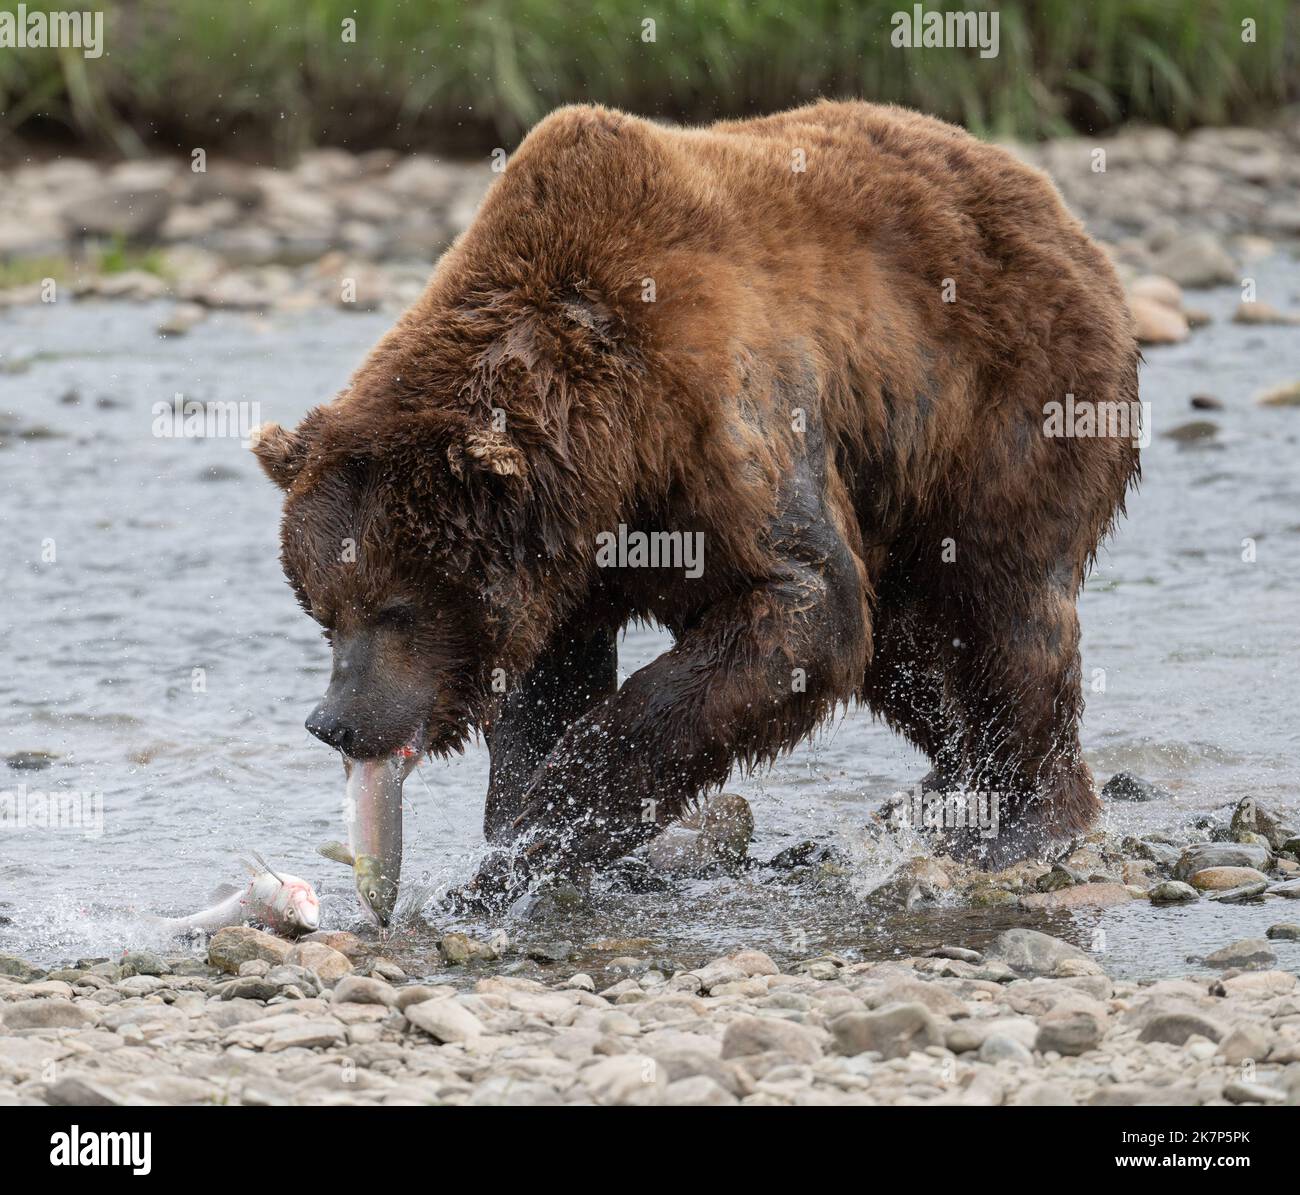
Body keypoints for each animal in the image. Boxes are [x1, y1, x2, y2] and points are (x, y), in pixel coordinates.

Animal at [253, 100, 1140, 895]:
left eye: (398, 606)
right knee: (907, 650)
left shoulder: (718, 433)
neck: (614, 448)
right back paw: (947, 789)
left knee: (1004, 613)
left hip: (1008, 407)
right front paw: (522, 833)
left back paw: (1023, 819)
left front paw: (554, 818)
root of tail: (1060, 212)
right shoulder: (569, 561)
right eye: (323, 611)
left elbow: (806, 606)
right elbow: (549, 679)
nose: (334, 720)